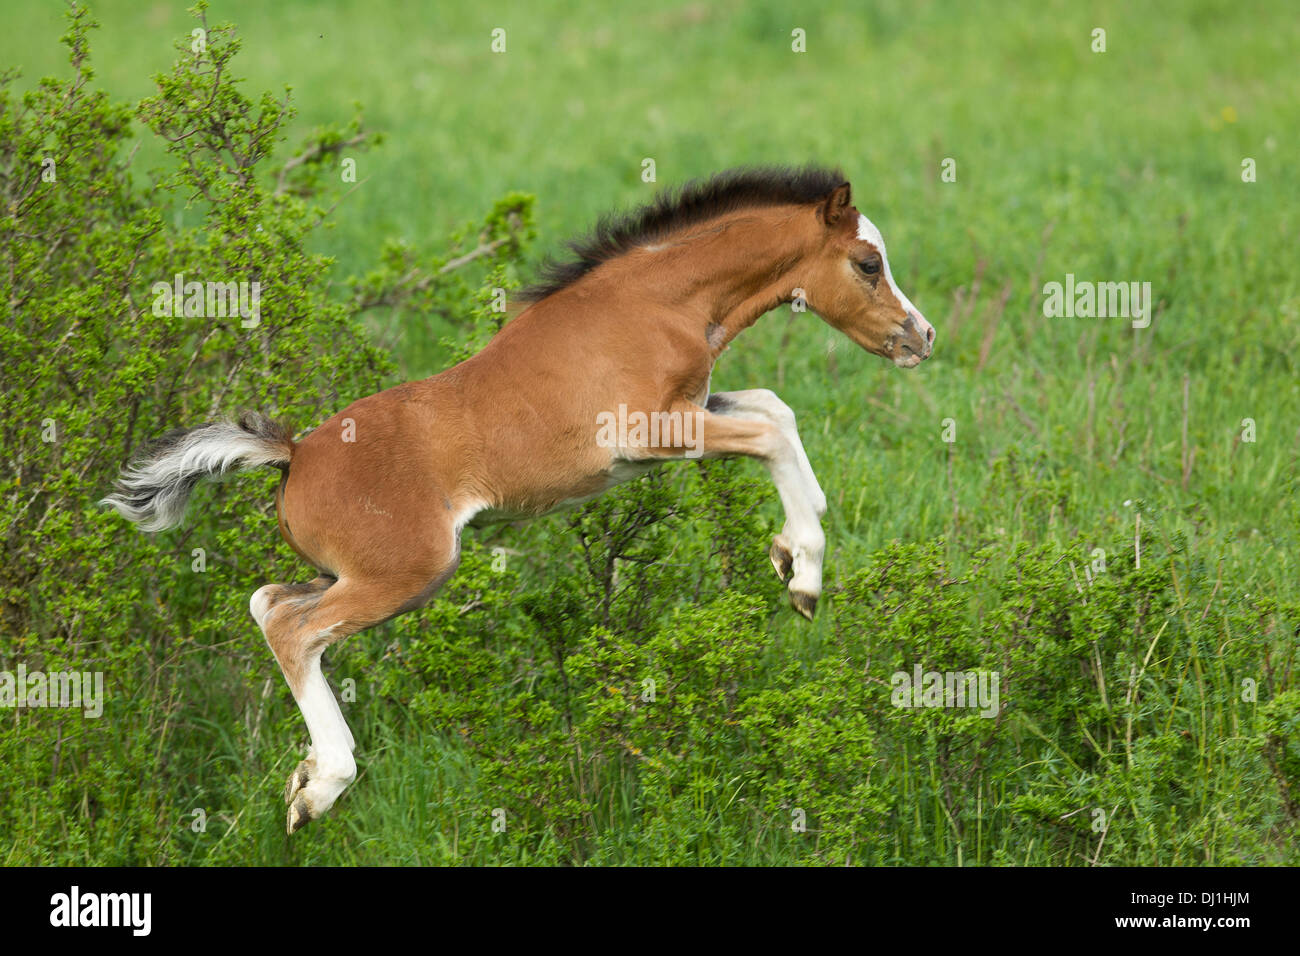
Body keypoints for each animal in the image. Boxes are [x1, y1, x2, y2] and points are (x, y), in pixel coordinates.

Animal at [101, 165, 935, 833]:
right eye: (868, 263)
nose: (920, 337)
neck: (660, 301)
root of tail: (296, 454)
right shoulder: (648, 431)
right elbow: (769, 430)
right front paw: (804, 575)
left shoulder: (692, 412)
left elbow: (774, 409)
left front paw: (794, 549)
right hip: (411, 571)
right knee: (293, 629)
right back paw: (325, 784)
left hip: (345, 572)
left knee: (267, 600)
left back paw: (304, 775)